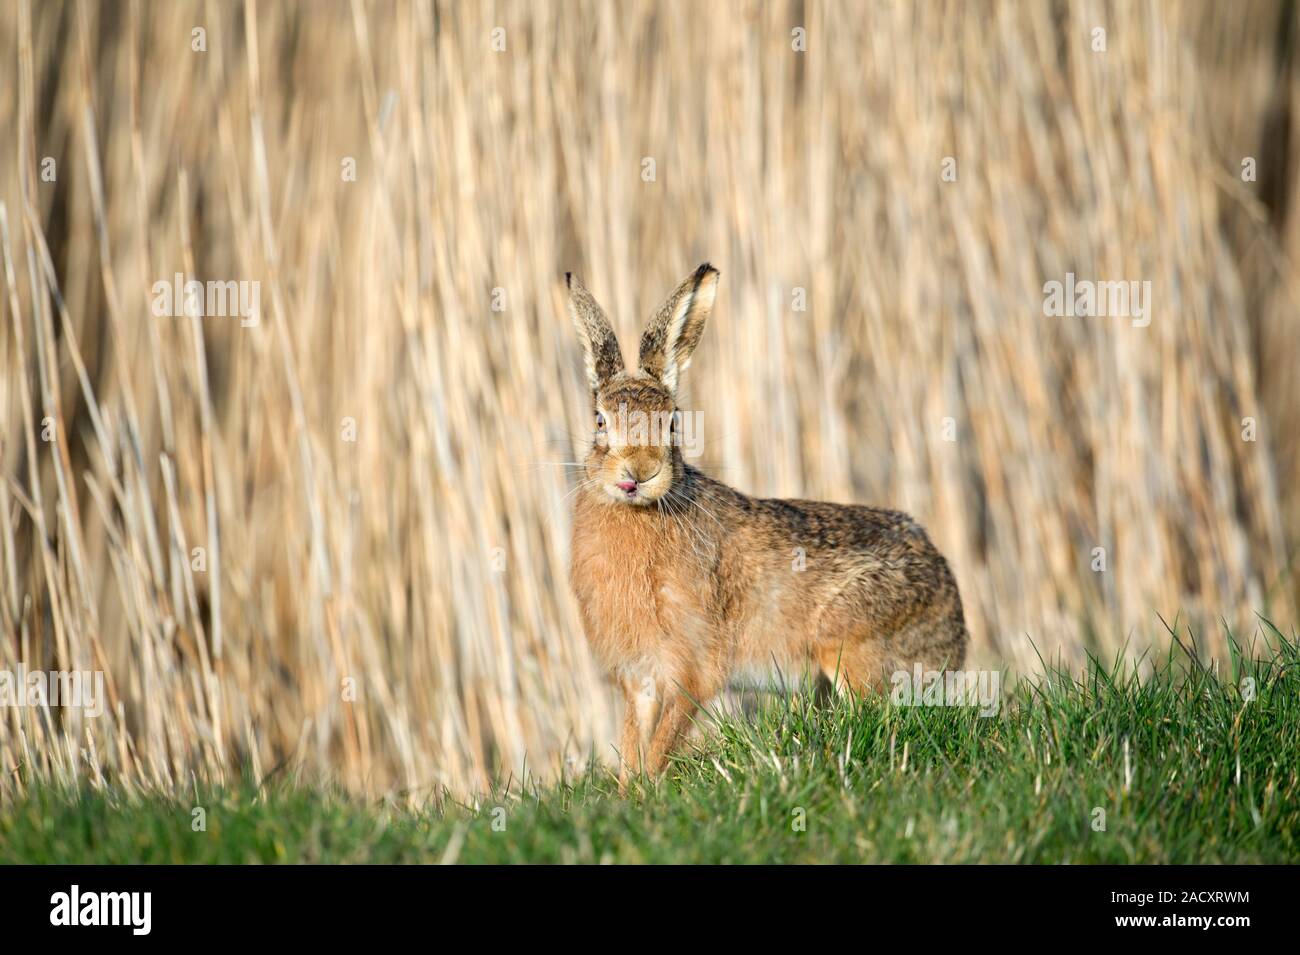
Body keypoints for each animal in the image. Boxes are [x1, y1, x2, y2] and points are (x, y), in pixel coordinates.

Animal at [566, 264, 968, 785]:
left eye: (673, 423)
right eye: (599, 423)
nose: (639, 472)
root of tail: (955, 623)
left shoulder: (693, 664)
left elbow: (666, 734)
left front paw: (650, 784)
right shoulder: (642, 676)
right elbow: (636, 735)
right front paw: (630, 789)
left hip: (849, 636)